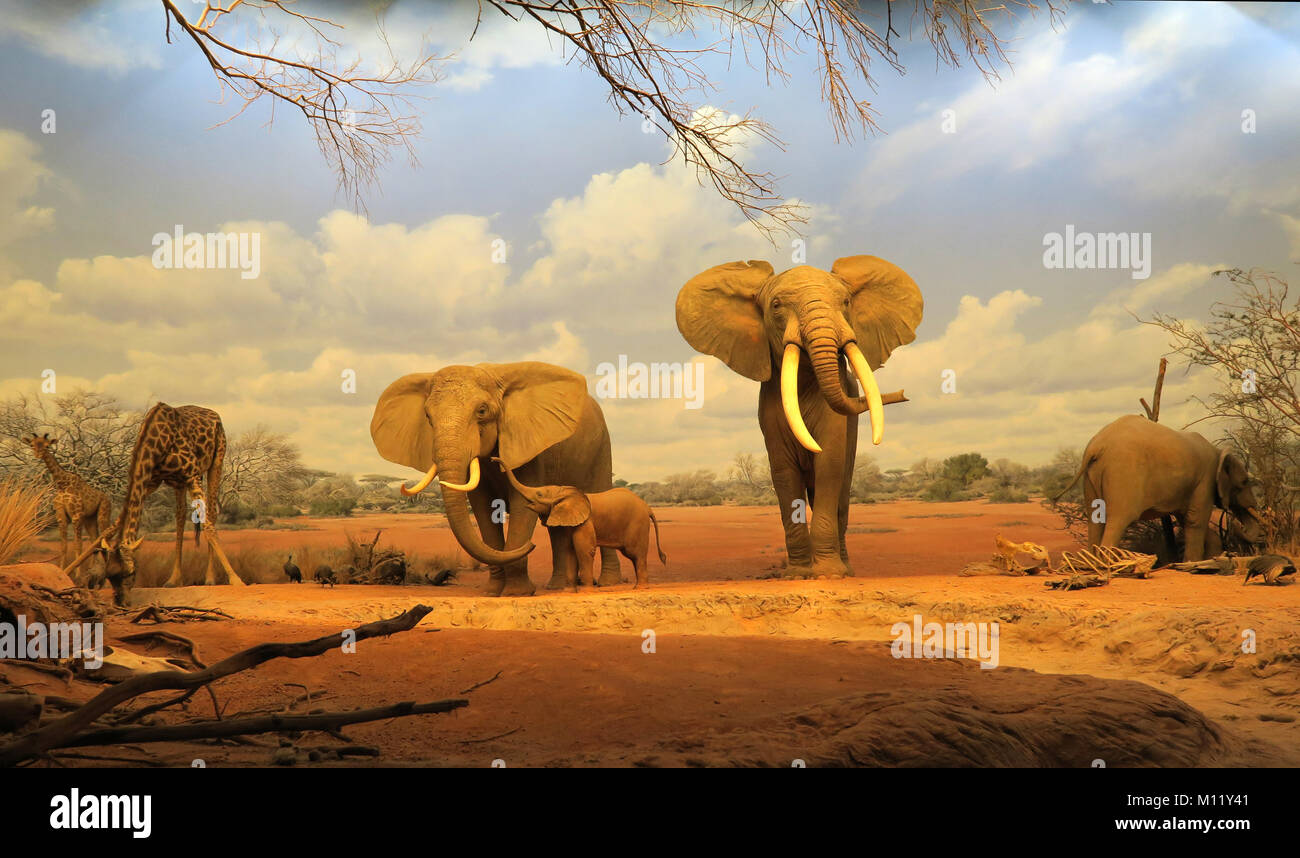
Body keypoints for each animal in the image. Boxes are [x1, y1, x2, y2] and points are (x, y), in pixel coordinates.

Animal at [370, 361, 622, 596]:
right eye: (427, 416)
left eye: (482, 411)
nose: (532, 545)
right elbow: (483, 510)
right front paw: (492, 592)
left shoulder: (530, 447)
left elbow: (521, 506)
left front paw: (516, 593)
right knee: (556, 528)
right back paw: (557, 587)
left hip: (602, 445)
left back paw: (607, 583)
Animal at [492, 458, 666, 590]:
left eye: (539, 494)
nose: (494, 459)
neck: (563, 492)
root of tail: (647, 507)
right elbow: (569, 550)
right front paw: (568, 591)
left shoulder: (586, 521)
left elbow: (584, 549)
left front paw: (586, 590)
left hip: (638, 524)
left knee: (636, 554)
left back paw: (640, 588)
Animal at [676, 256, 923, 578]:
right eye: (776, 305)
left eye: (846, 301)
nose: (903, 394)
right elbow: (783, 473)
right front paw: (798, 574)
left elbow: (829, 463)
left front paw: (829, 574)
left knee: (840, 494)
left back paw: (846, 569)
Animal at [1057, 415, 1265, 561]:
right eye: (1244, 482)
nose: (1236, 524)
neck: (1219, 452)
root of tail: (1096, 447)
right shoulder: (1204, 480)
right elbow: (1196, 519)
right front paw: (1194, 563)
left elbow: (1186, 518)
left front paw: (1211, 558)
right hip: (1124, 473)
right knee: (1119, 519)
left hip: (1092, 477)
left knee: (1096, 520)